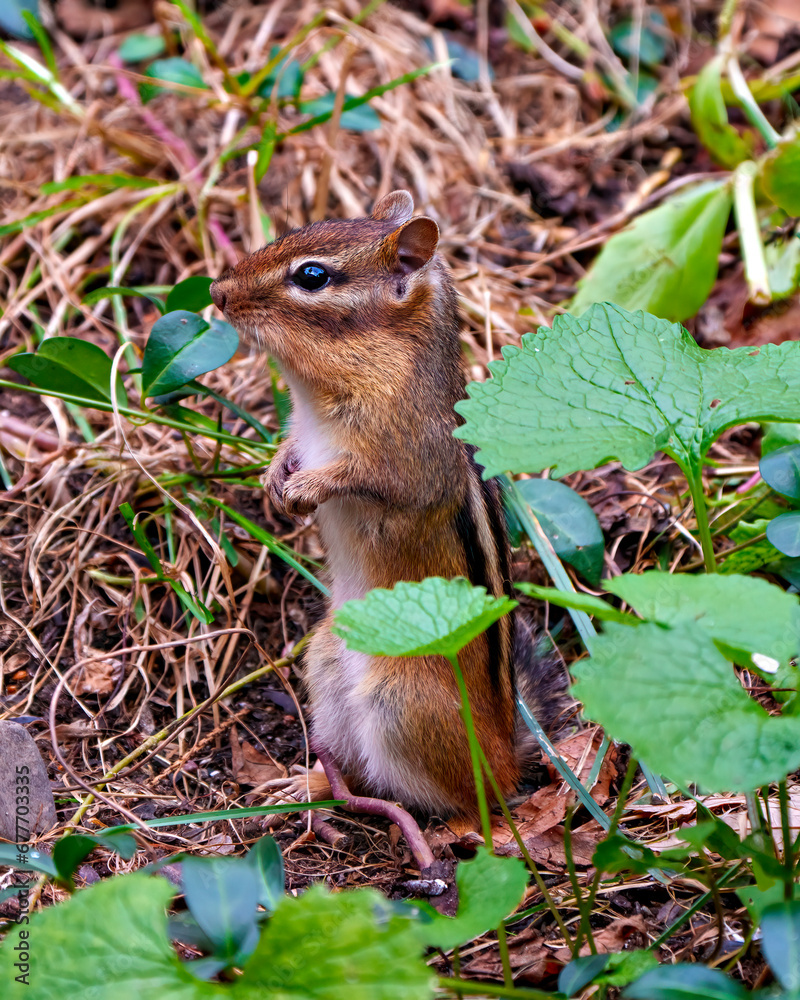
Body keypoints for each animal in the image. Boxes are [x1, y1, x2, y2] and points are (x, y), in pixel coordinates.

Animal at [210, 191, 565, 828]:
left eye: (312, 276)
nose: (217, 292)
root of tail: (504, 748)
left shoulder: (406, 459)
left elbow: (369, 480)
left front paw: (305, 490)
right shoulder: (303, 429)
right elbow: (290, 448)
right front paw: (275, 477)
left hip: (400, 701)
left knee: (463, 800)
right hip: (326, 663)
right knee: (351, 768)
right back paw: (306, 786)